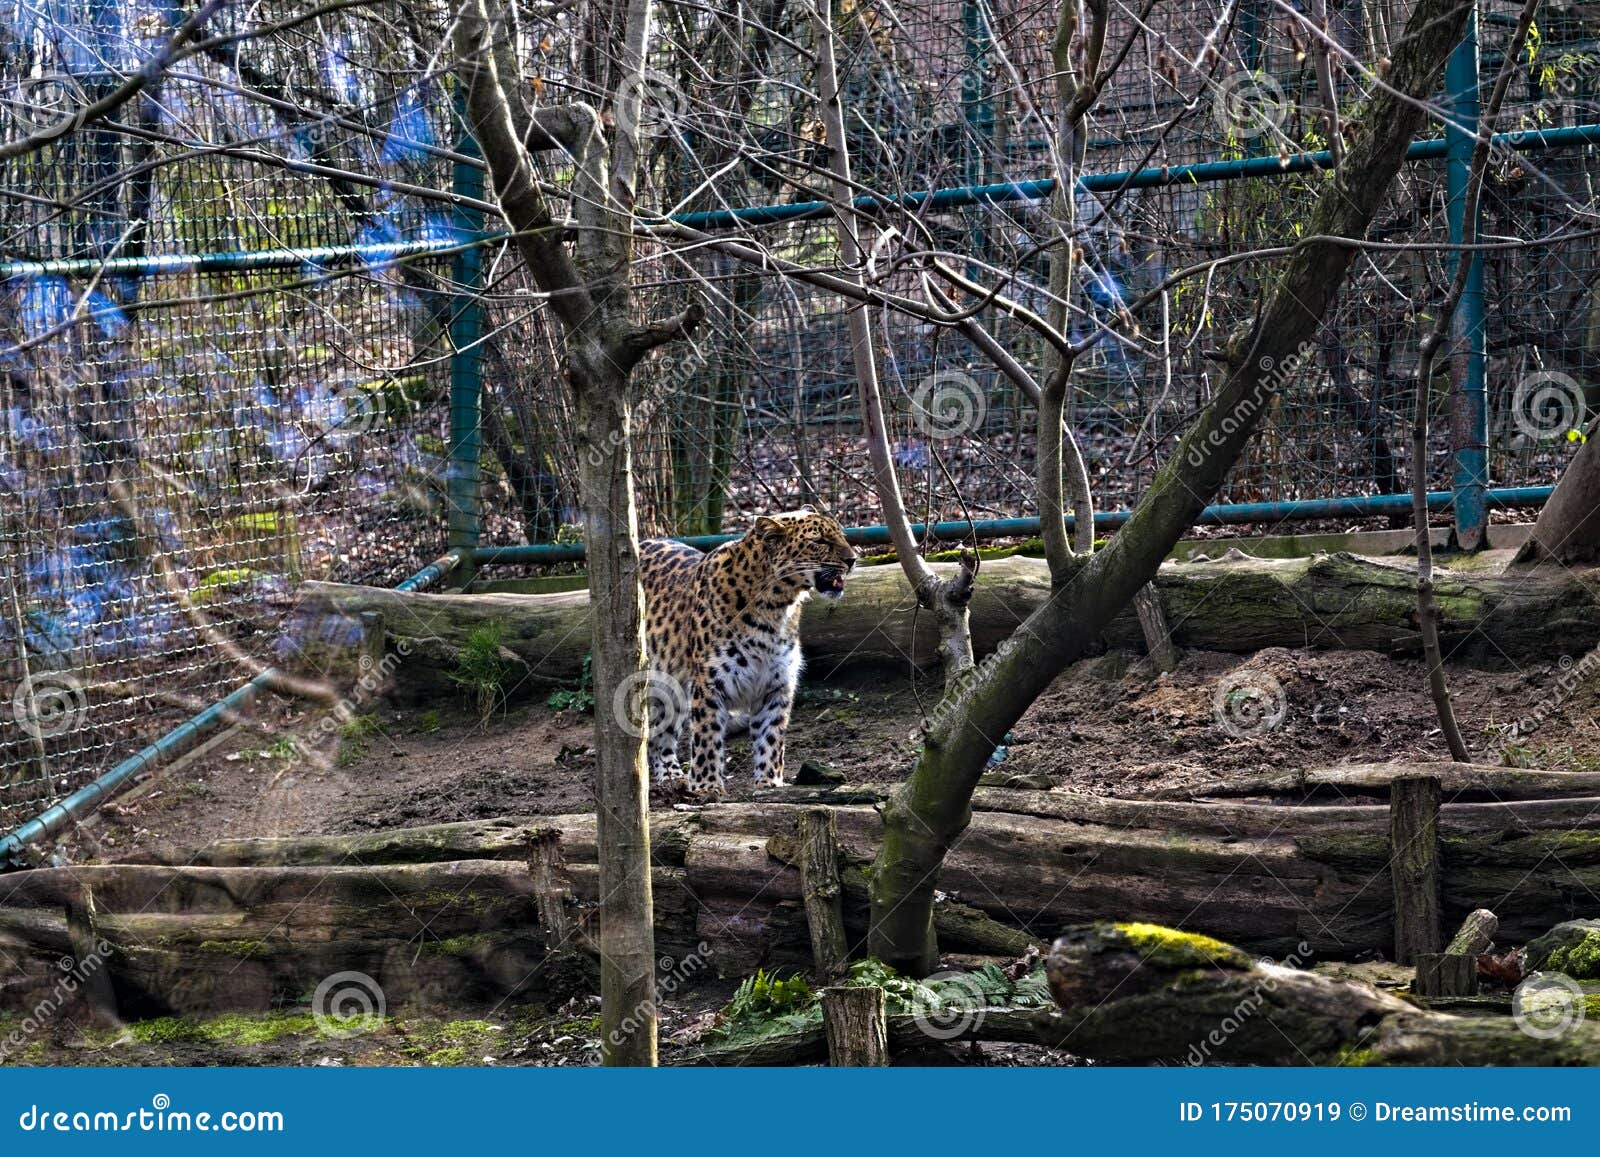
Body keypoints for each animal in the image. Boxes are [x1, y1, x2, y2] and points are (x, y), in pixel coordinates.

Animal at [636, 507, 857, 793]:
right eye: (819, 541)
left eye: (842, 535)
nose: (853, 559)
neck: (775, 608)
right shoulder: (710, 683)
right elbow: (707, 736)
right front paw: (706, 787)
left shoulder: (776, 685)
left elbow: (771, 737)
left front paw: (769, 783)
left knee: (661, 732)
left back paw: (672, 776)